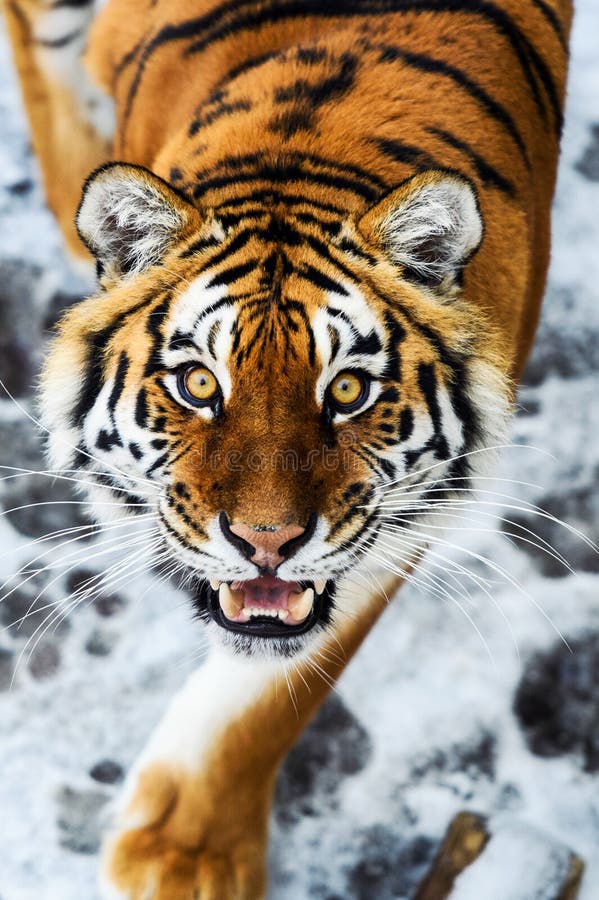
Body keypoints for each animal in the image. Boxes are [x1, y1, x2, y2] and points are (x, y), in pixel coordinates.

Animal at [3, 0, 572, 896]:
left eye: (346, 391)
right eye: (199, 383)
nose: (266, 541)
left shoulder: (394, 522)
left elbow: (274, 689)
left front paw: (185, 855)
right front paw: (185, 862)